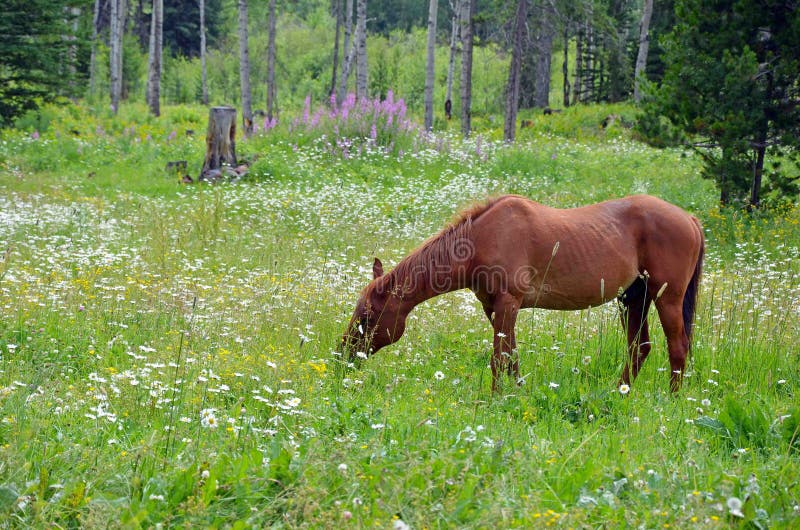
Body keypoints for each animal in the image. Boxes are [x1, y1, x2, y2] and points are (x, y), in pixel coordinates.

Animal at [341, 194, 705, 393]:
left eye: (367, 316)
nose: (342, 356)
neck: (480, 240)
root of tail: (690, 218)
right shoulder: (494, 308)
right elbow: (511, 355)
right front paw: (516, 393)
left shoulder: (508, 304)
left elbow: (498, 358)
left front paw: (494, 399)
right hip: (632, 298)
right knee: (639, 348)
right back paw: (619, 393)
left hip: (666, 298)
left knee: (677, 348)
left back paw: (672, 402)